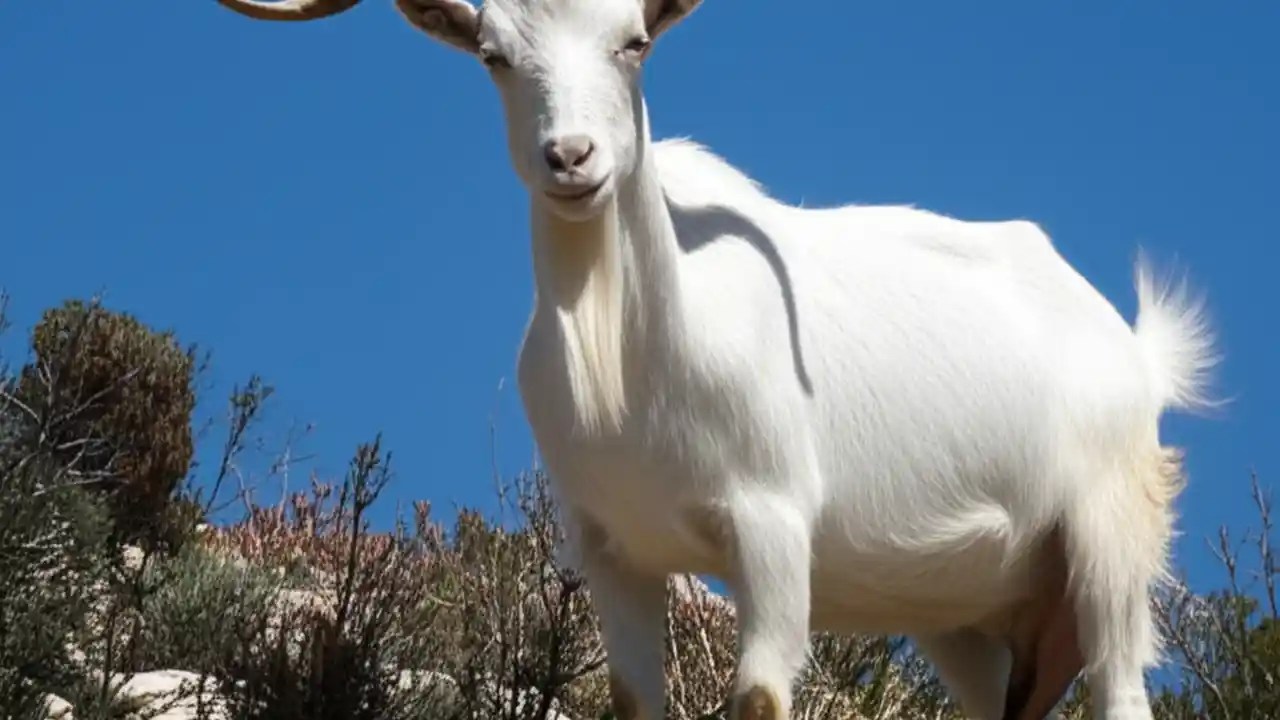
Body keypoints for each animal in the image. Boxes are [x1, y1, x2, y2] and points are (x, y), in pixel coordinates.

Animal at [217, 2, 1220, 718]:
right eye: (495, 53)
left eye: (633, 42)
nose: (571, 158)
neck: (631, 370)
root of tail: (1131, 349)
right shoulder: (611, 550)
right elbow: (634, 701)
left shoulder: (770, 527)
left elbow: (761, 697)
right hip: (969, 621)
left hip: (1106, 544)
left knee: (1121, 691)